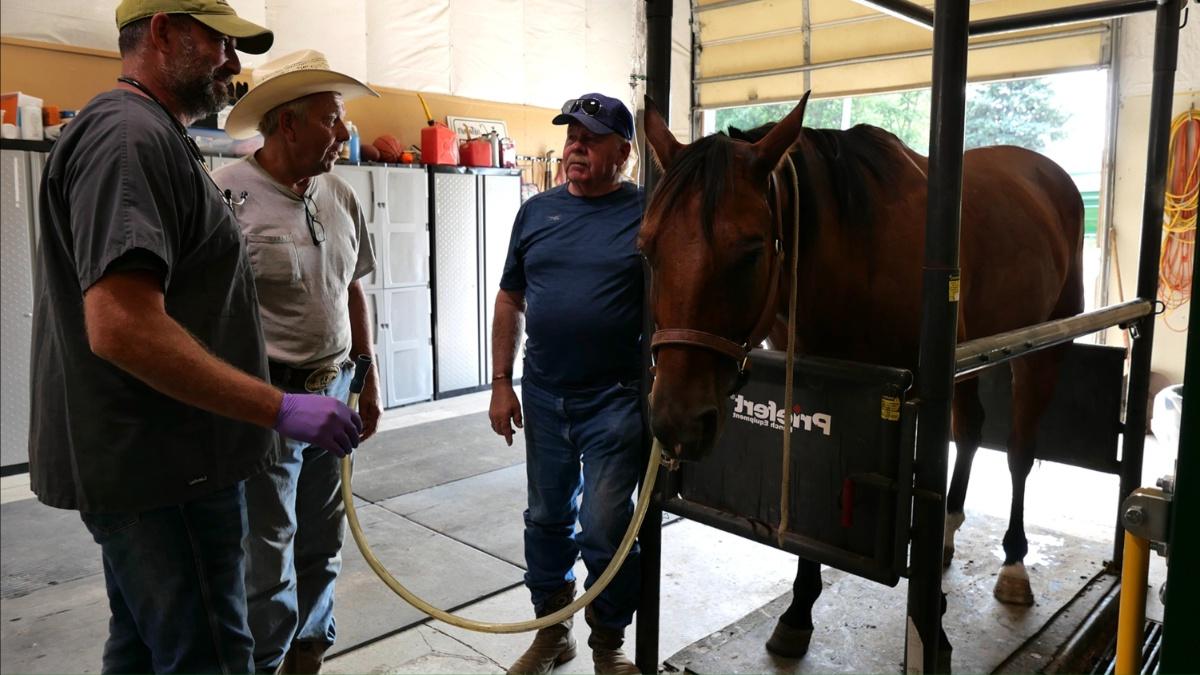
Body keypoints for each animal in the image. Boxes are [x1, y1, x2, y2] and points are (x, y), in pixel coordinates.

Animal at [643, 91, 1084, 653]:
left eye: (752, 250)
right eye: (646, 248)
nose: (676, 423)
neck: (855, 253)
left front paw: (934, 627)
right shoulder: (815, 378)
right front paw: (798, 611)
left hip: (1040, 353)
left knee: (1020, 453)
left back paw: (1014, 564)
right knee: (970, 431)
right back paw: (946, 535)